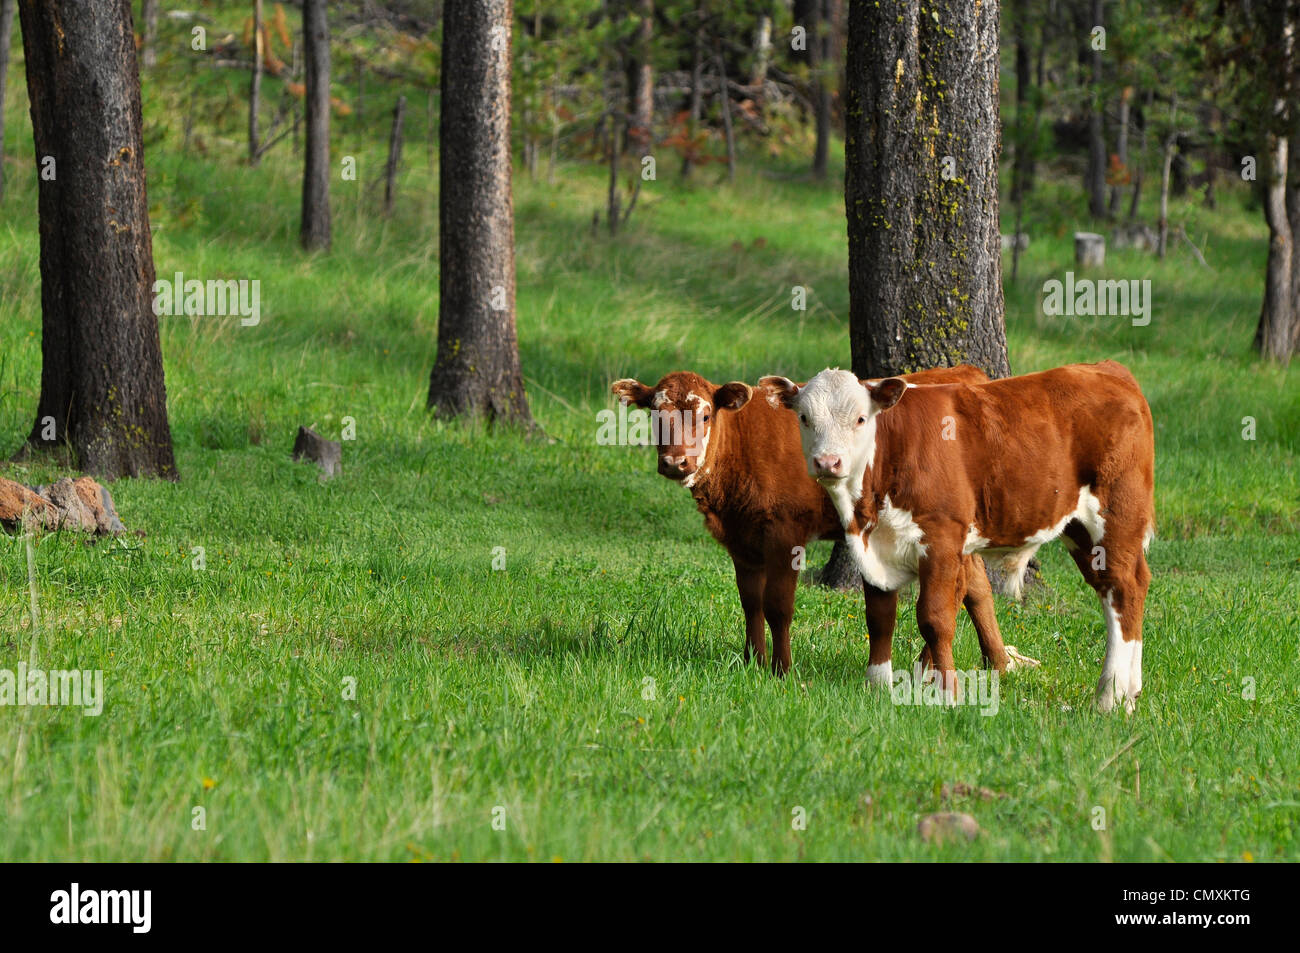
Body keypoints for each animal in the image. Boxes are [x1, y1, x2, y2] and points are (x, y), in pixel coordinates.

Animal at [611, 365, 1028, 679]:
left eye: (705, 415)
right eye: (654, 414)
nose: (675, 462)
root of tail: (967, 374)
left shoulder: (785, 532)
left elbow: (777, 604)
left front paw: (780, 670)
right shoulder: (741, 539)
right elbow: (750, 602)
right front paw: (752, 662)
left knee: (958, 588)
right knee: (975, 586)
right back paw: (996, 662)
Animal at [760, 361, 1155, 712]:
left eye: (860, 418)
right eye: (804, 418)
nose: (828, 462)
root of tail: (1108, 369)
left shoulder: (942, 539)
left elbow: (935, 619)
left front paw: (949, 692)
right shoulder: (872, 545)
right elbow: (880, 617)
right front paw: (878, 686)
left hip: (1116, 516)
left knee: (1124, 589)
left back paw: (1109, 697)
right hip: (1080, 529)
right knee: (1117, 590)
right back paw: (1130, 691)